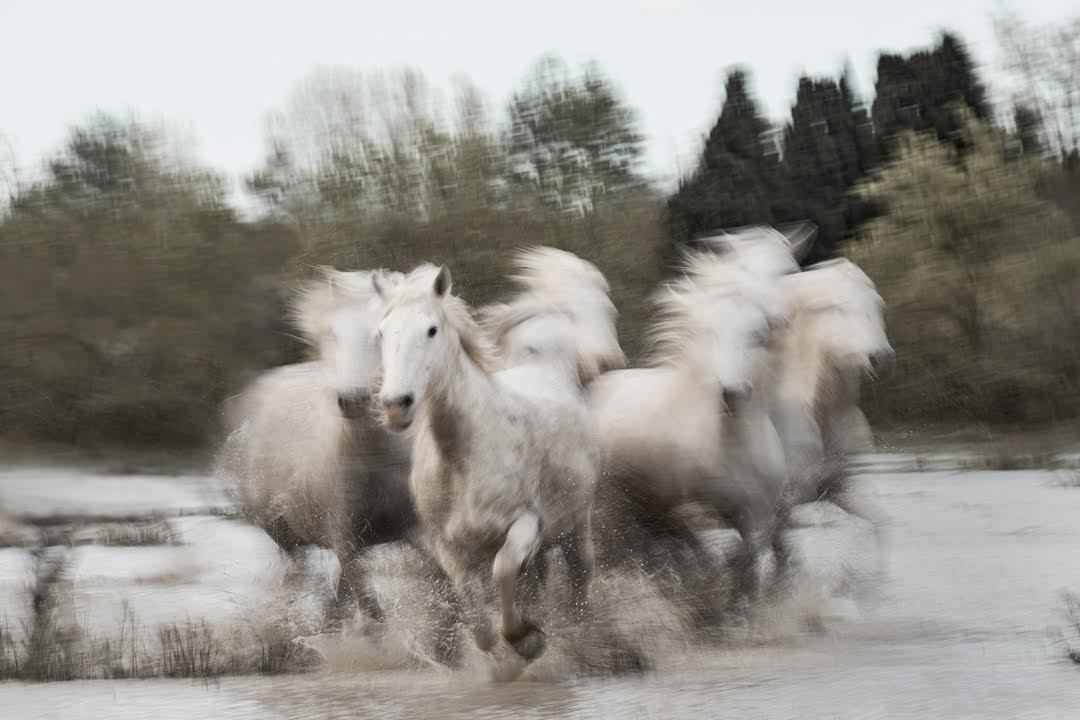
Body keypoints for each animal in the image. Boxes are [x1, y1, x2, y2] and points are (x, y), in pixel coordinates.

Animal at [214, 266, 416, 624]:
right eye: (332, 334)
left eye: (380, 335)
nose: (353, 400)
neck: (371, 456)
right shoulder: (344, 539)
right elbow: (372, 611)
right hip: (280, 529)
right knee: (300, 572)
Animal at [373, 263, 597, 661]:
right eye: (381, 332)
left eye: (431, 330)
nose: (396, 405)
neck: (464, 460)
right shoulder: (449, 550)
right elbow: (481, 631)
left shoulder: (526, 523)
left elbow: (504, 570)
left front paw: (528, 639)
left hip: (577, 527)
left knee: (580, 582)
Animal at [588, 235, 797, 607]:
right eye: (712, 332)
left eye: (756, 332)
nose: (730, 393)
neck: (733, 444)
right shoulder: (692, 512)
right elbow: (712, 559)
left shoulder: (757, 514)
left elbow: (752, 564)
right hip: (607, 511)